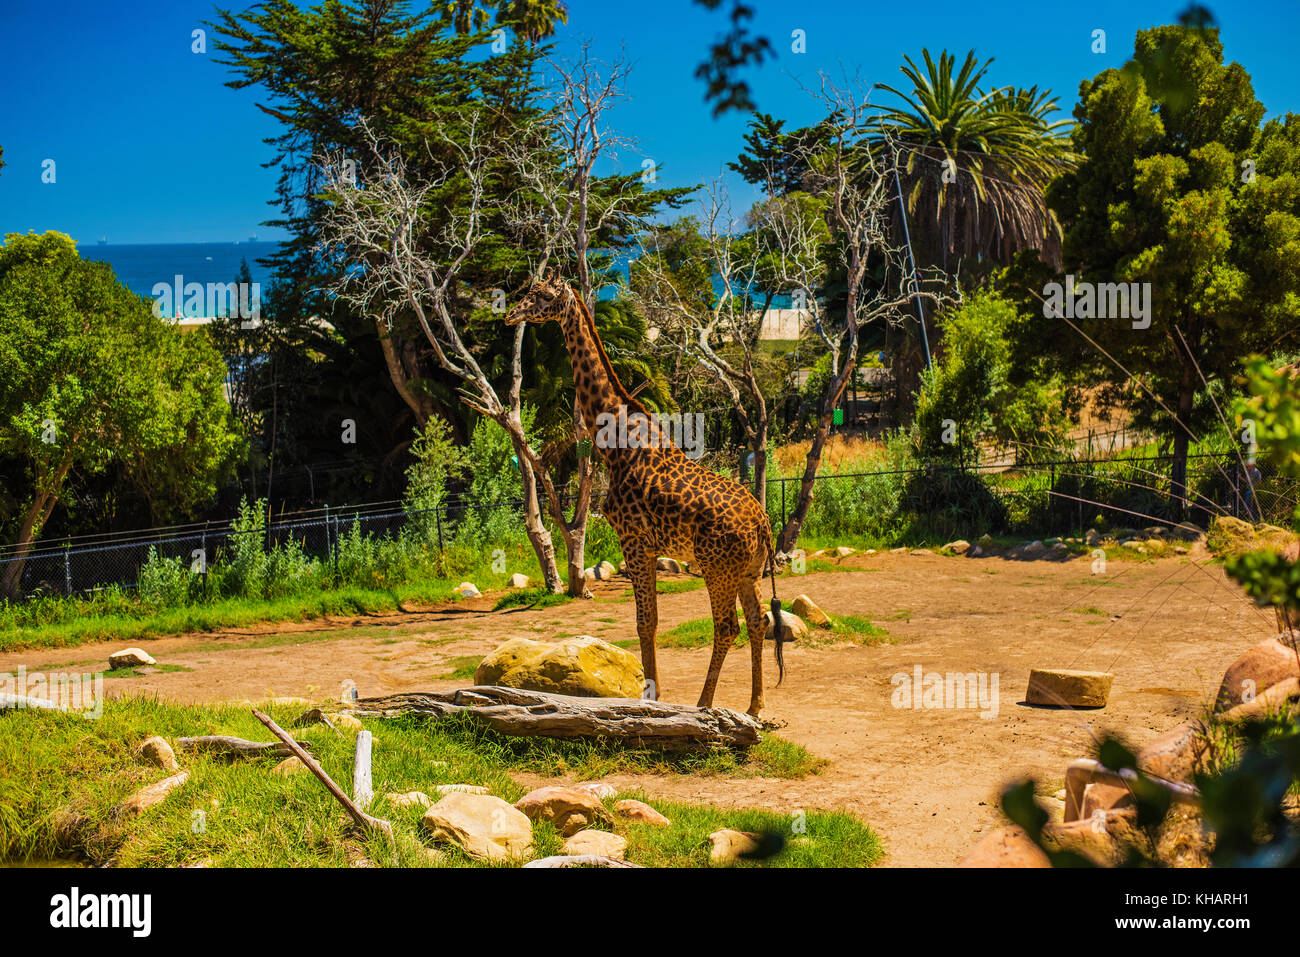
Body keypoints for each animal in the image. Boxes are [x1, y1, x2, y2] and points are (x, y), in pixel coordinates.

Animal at [505, 277, 787, 717]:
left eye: (543, 297)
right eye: (528, 291)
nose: (510, 314)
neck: (613, 442)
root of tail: (763, 525)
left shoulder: (633, 539)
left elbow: (644, 622)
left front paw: (652, 698)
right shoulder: (648, 545)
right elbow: (649, 621)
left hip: (716, 566)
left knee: (727, 626)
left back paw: (704, 704)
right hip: (749, 569)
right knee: (759, 622)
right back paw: (755, 706)